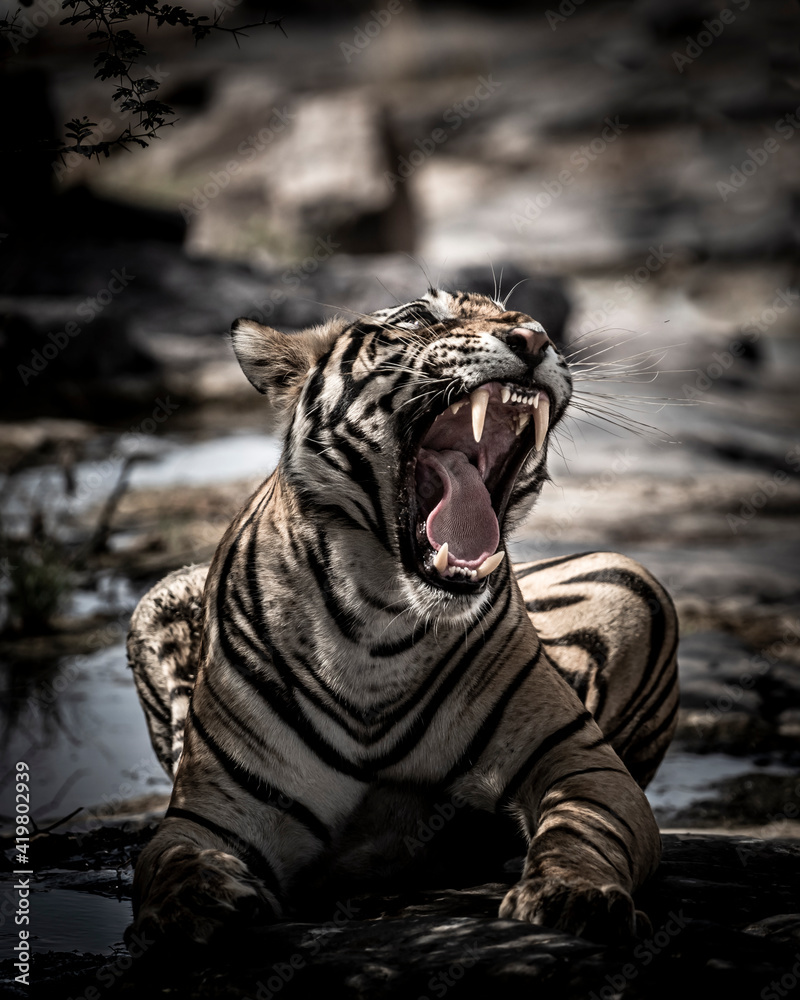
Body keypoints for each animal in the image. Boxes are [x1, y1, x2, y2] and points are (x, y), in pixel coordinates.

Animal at [126, 288, 679, 950]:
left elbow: (583, 829)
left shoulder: (579, 762)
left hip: (634, 582)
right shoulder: (209, 807)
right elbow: (174, 862)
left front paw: (573, 895)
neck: (377, 617)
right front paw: (197, 907)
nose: (535, 338)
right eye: (421, 317)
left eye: (528, 322)